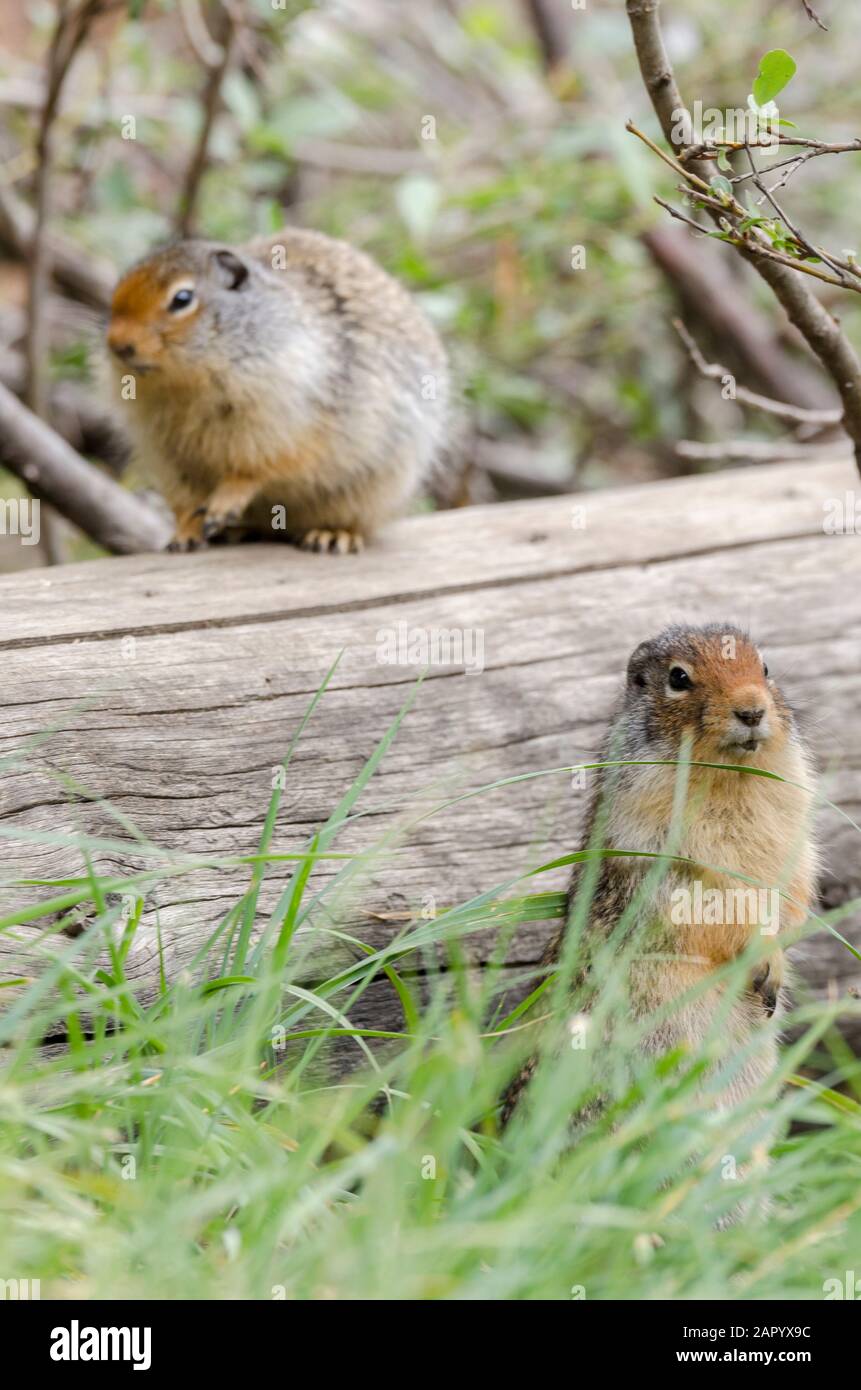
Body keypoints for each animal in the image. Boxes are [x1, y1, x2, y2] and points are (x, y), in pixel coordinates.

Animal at [105, 226, 450, 553]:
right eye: (118, 290)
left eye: (182, 299)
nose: (117, 345)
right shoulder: (167, 454)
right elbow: (185, 501)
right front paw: (186, 535)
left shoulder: (286, 426)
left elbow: (258, 468)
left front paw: (223, 505)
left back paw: (332, 535)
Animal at [501, 624, 819, 1125]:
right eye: (678, 678)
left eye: (765, 667)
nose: (752, 710)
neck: (732, 778)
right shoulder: (671, 865)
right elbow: (719, 914)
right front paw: (762, 955)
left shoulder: (797, 845)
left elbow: (796, 890)